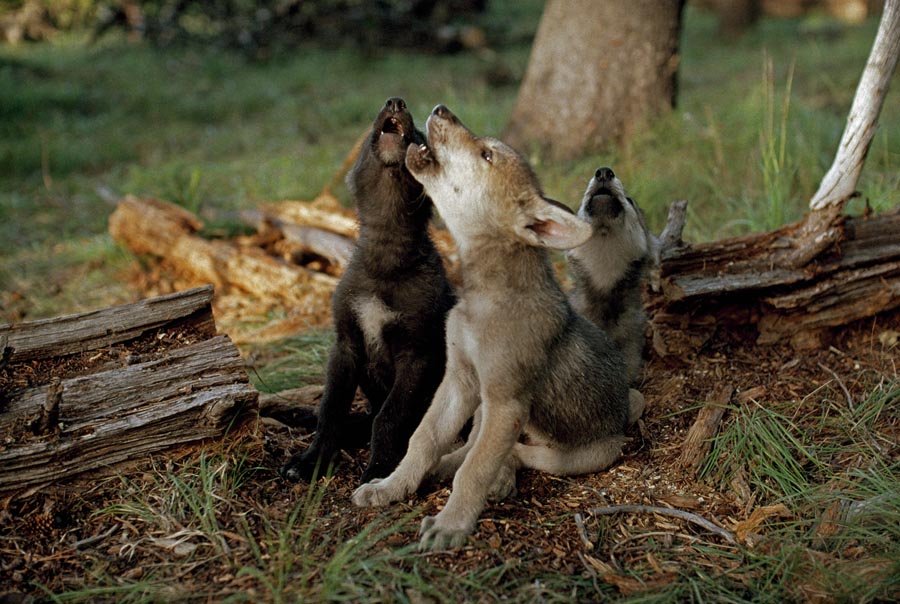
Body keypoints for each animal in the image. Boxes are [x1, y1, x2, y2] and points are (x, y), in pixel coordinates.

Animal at [280, 98, 455, 484]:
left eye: (419, 136)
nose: (396, 101)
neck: (386, 257)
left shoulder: (416, 357)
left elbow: (388, 419)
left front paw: (379, 469)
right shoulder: (346, 346)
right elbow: (331, 410)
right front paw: (312, 459)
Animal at [352, 105, 643, 550]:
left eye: (487, 155)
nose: (439, 109)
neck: (482, 298)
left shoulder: (506, 402)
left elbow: (474, 470)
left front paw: (451, 524)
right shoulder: (460, 382)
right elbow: (423, 439)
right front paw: (392, 486)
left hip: (578, 454)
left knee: (513, 455)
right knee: (475, 448)